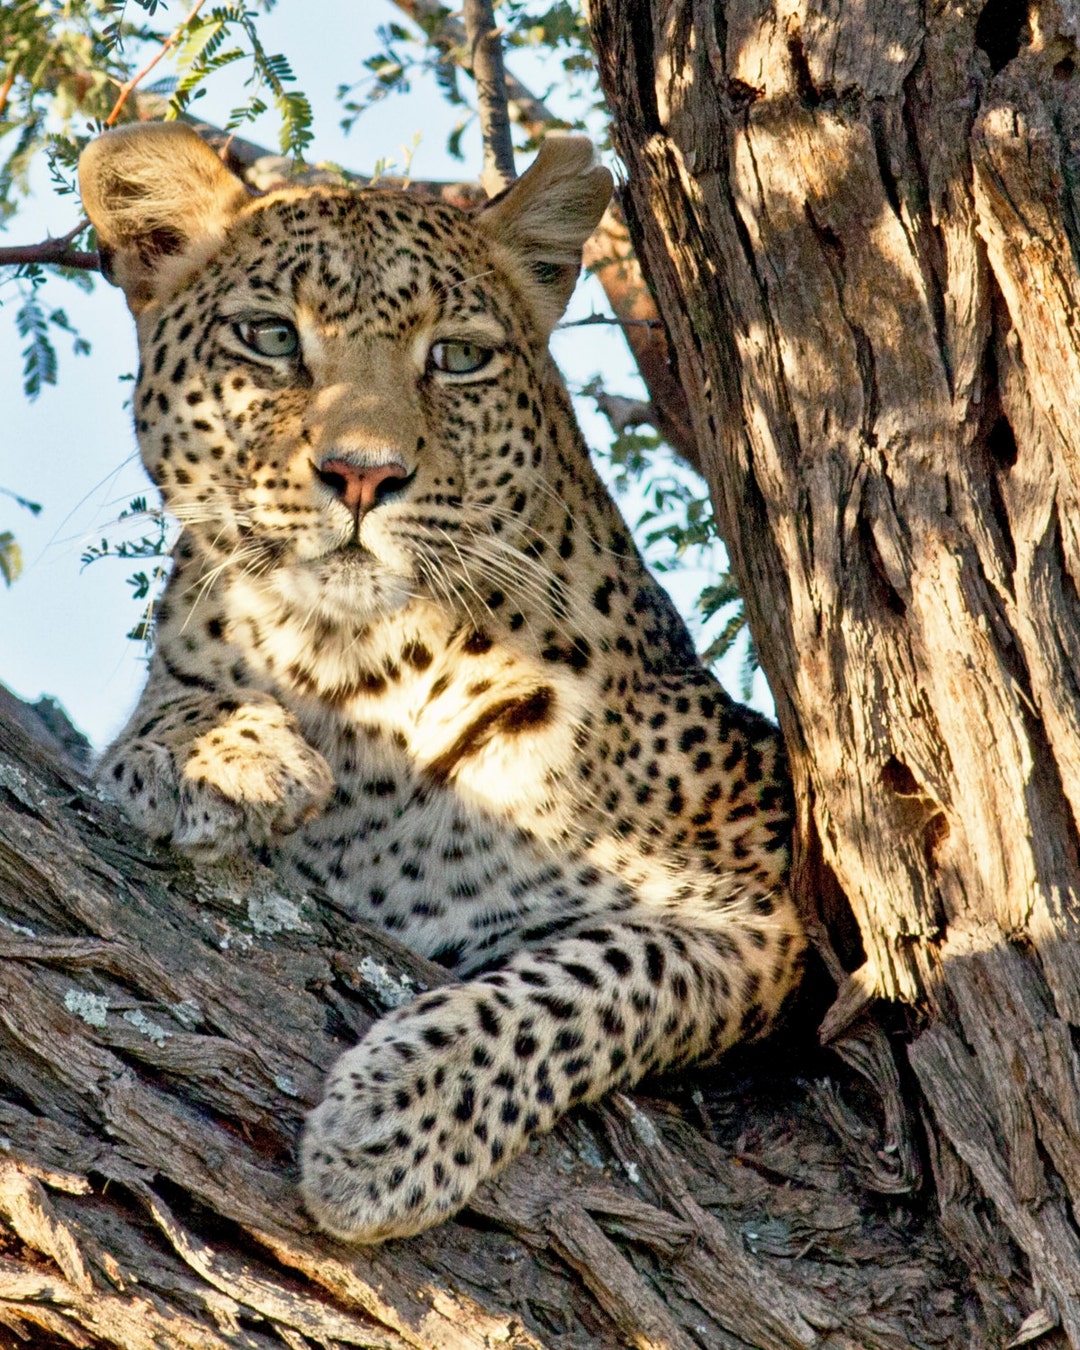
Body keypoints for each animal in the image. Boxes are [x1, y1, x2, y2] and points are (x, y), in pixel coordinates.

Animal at [78, 121, 805, 1243]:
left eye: (457, 357)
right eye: (271, 338)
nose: (363, 474)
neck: (350, 668)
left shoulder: (760, 920)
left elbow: (582, 985)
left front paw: (388, 1130)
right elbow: (166, 706)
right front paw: (228, 756)